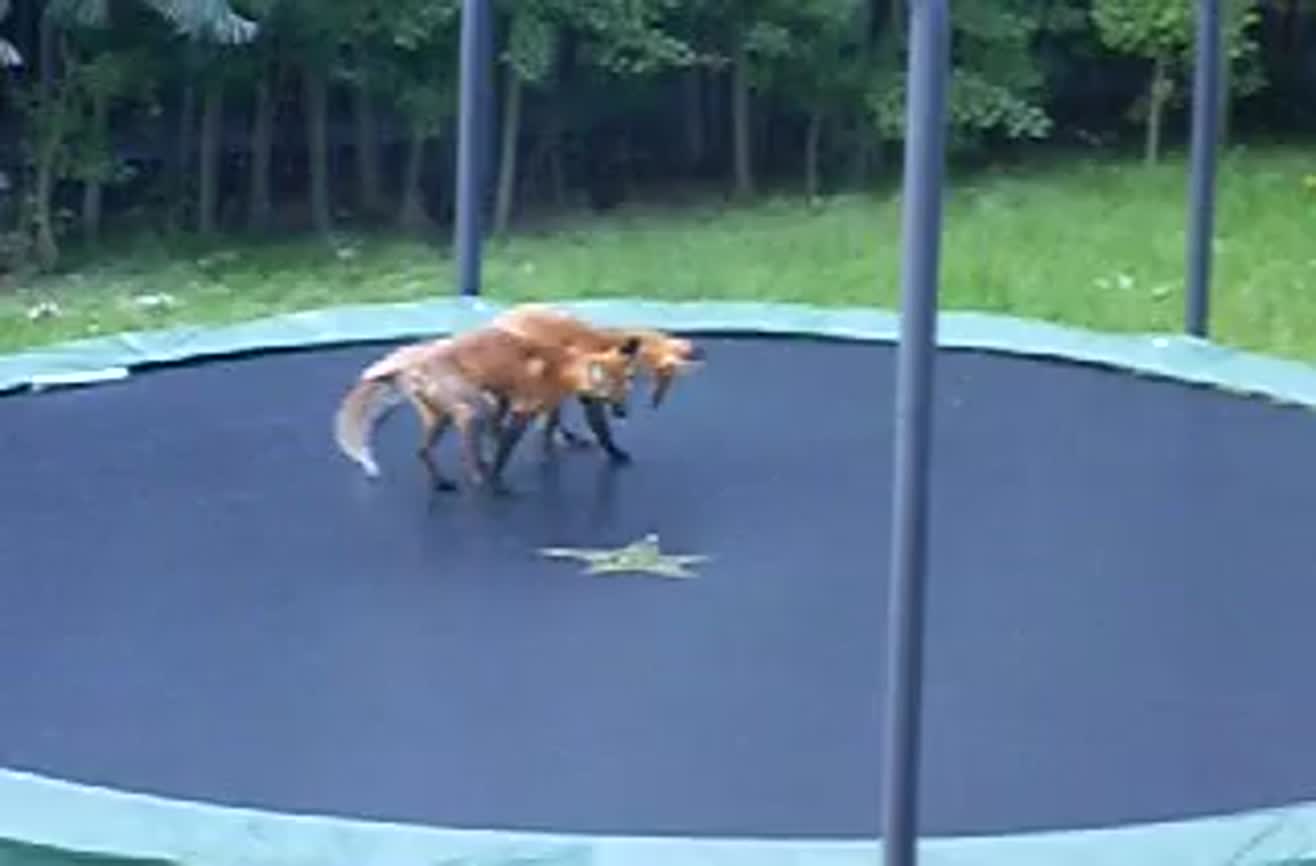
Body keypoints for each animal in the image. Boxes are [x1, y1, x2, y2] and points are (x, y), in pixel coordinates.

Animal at [334, 325, 641, 493]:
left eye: (626, 391)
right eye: (612, 394)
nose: (624, 413)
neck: (560, 370)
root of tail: (415, 364)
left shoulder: (515, 402)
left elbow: (570, 434)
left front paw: (613, 452)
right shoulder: (520, 410)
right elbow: (505, 449)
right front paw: (497, 479)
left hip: (443, 416)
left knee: (423, 451)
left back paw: (443, 483)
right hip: (474, 409)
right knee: (466, 455)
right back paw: (482, 480)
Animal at [489, 303, 705, 463]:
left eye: (670, 383)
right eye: (665, 379)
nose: (656, 404)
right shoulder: (590, 395)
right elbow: (601, 430)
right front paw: (613, 451)